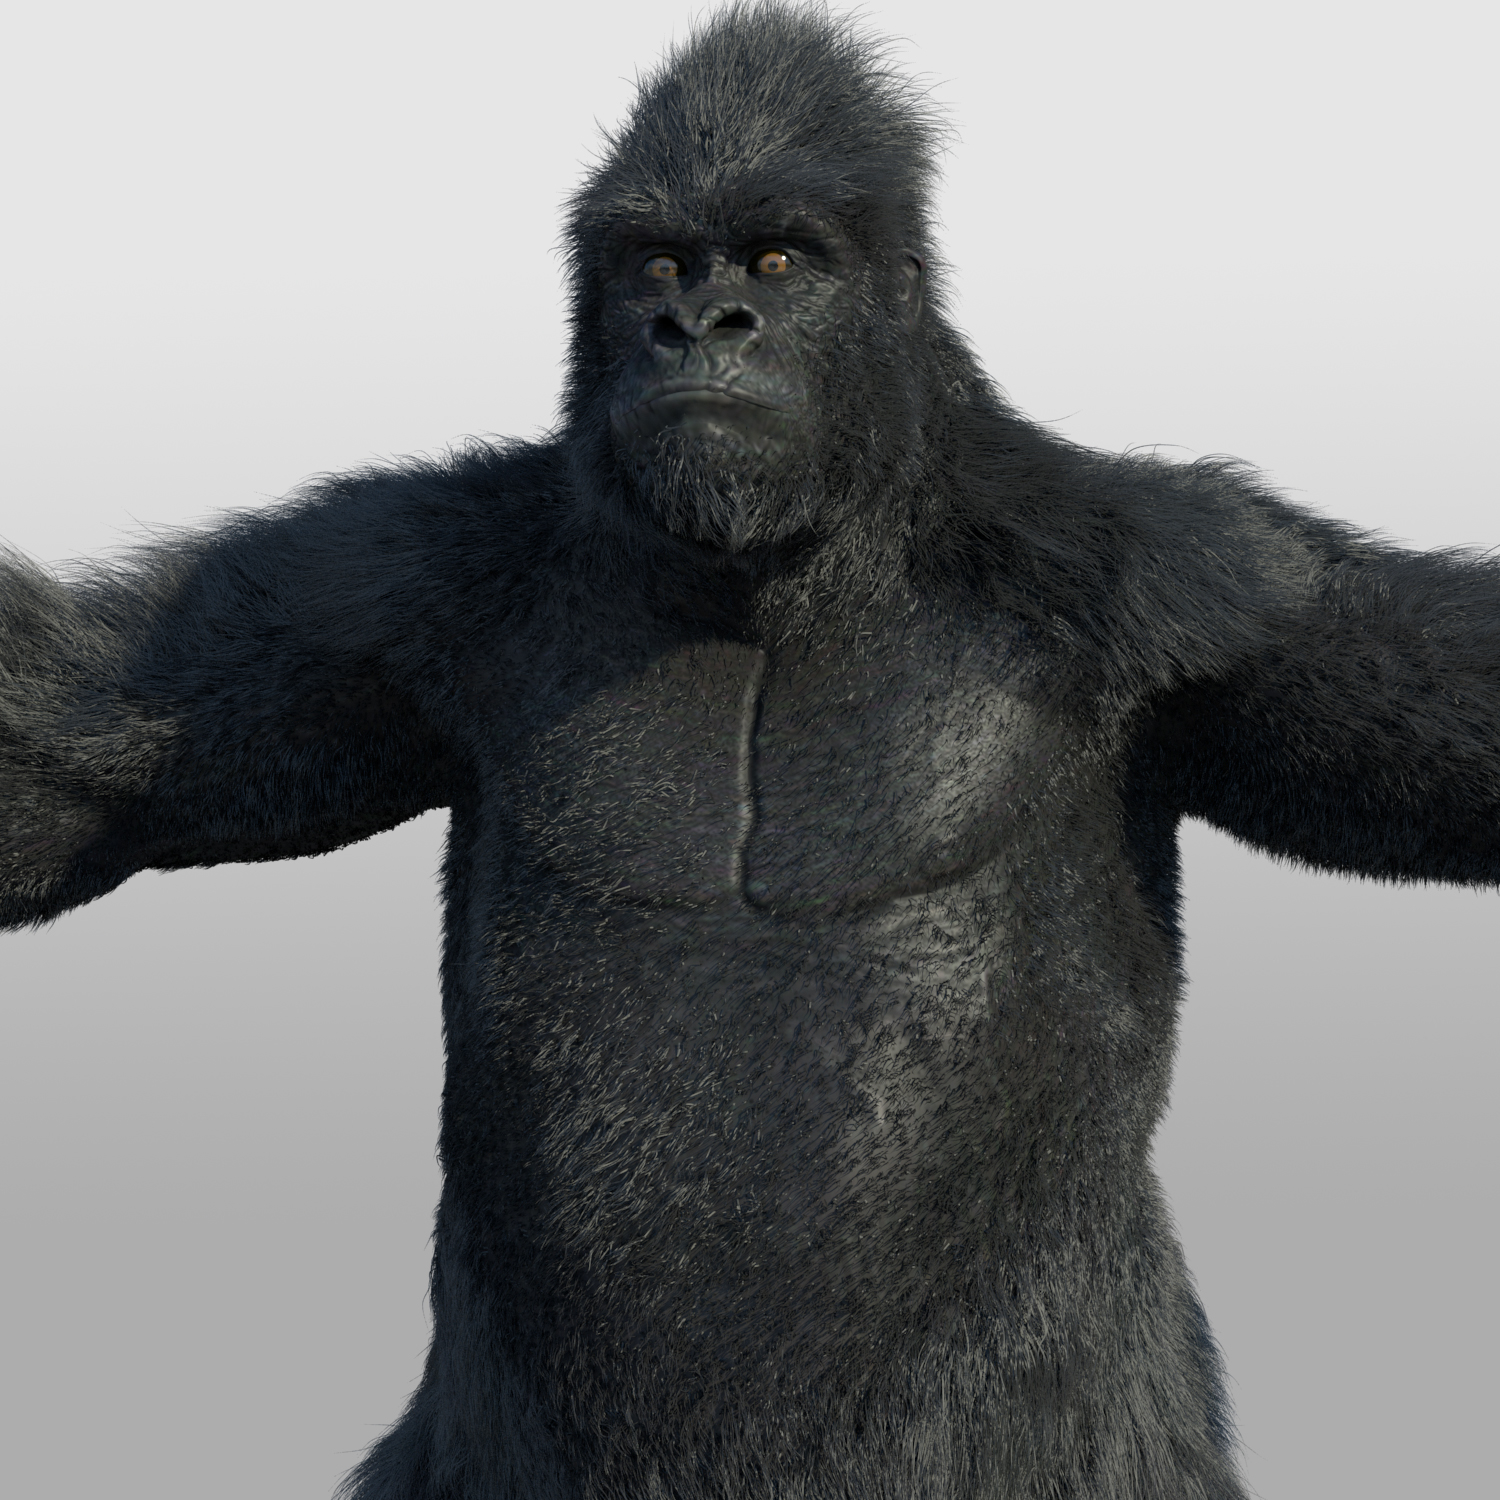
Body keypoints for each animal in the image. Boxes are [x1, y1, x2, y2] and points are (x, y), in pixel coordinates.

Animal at [4, 5, 1499, 1496]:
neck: (791, 555)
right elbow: (79, 750)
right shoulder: (383, 588)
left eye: (777, 263)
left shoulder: (1197, 585)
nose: (694, 324)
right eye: (658, 267)